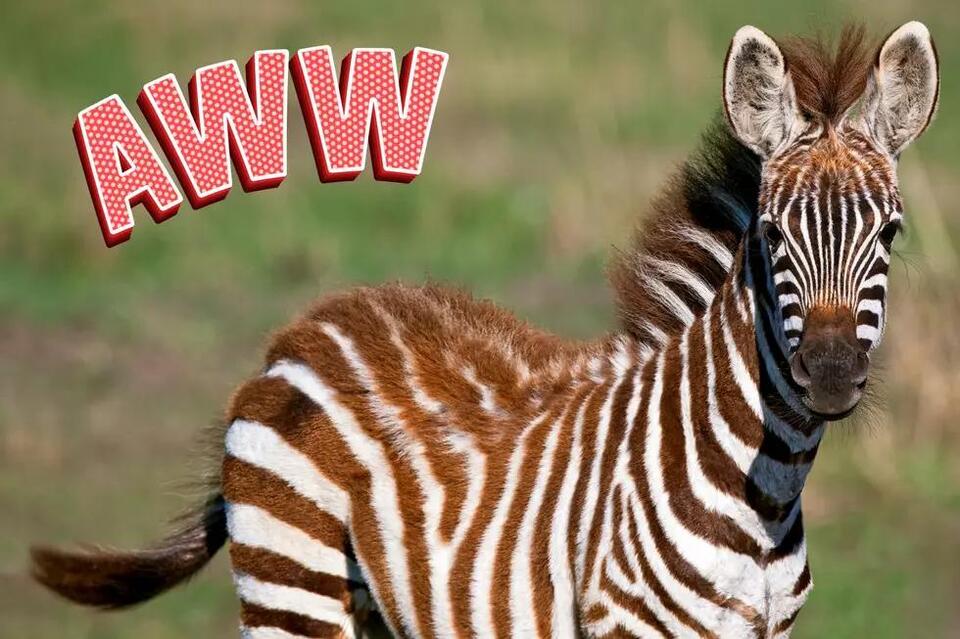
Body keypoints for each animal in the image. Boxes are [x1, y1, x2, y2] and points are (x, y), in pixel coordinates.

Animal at [30, 21, 939, 639]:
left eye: (890, 232)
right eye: (773, 235)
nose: (830, 374)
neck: (765, 485)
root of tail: (301, 332)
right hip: (292, 588)